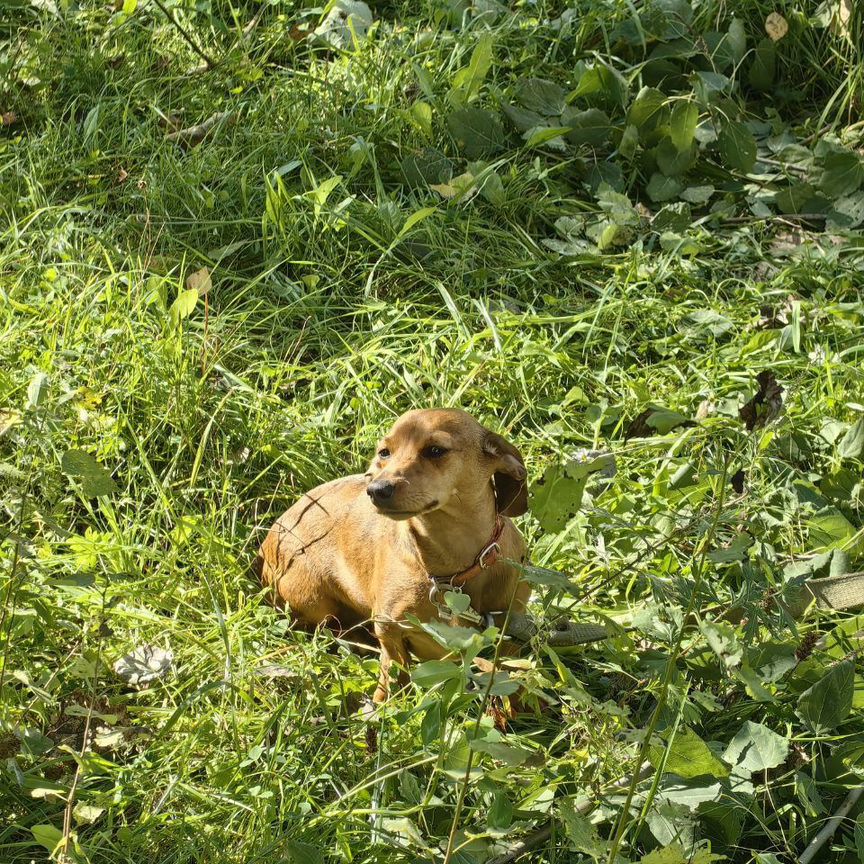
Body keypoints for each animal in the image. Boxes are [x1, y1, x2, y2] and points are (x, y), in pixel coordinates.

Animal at [255, 406, 528, 704]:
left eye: (435, 450)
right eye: (384, 452)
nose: (377, 490)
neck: (453, 571)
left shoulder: (511, 630)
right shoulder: (389, 629)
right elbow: (394, 676)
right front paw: (382, 706)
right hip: (315, 602)